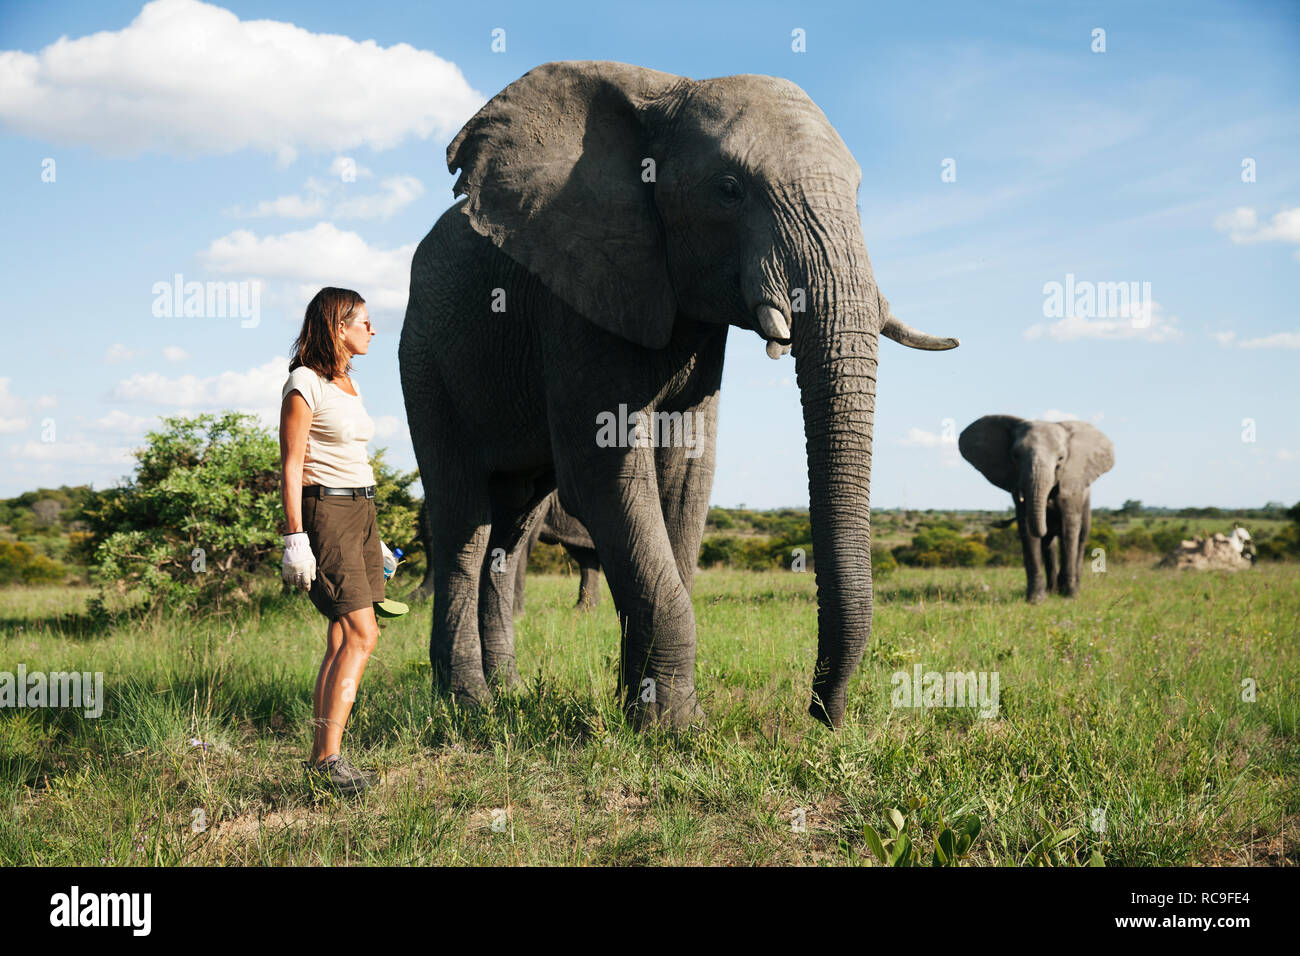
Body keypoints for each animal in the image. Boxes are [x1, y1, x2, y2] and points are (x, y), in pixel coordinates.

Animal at [398, 60, 958, 729]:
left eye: (858, 194)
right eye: (729, 189)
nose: (823, 716)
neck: (666, 93)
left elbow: (688, 479)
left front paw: (639, 709)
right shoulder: (575, 295)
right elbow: (604, 476)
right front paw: (676, 728)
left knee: (511, 530)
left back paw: (508, 694)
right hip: (424, 358)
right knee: (463, 519)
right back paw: (468, 706)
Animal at [958, 416, 1114, 602]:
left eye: (1061, 458)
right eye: (1015, 455)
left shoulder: (1071, 489)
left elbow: (1069, 529)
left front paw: (1069, 597)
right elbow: (1026, 530)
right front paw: (1035, 600)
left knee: (1081, 537)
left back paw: (1071, 589)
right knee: (1050, 545)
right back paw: (1052, 590)